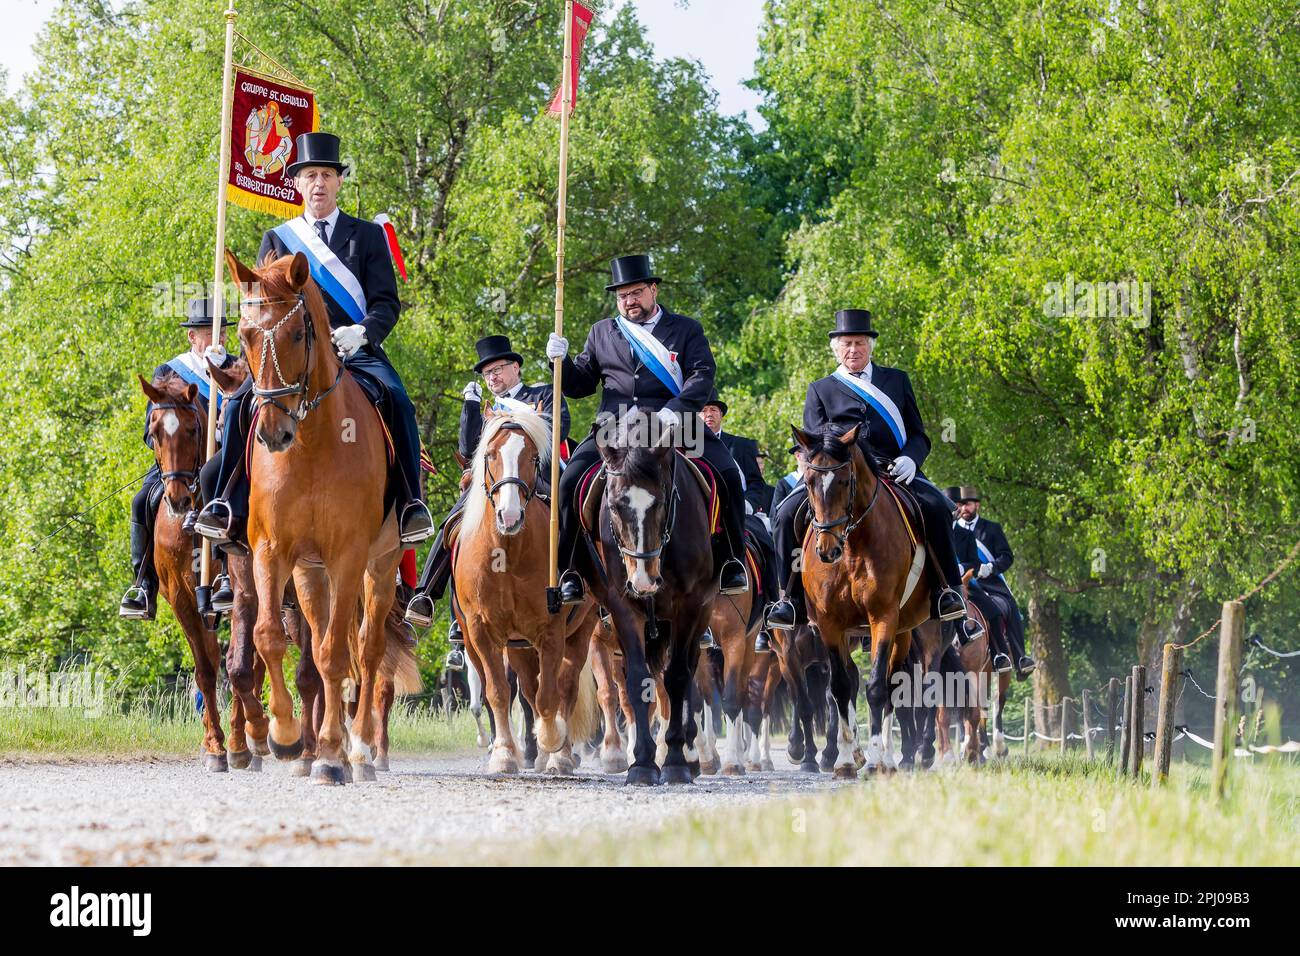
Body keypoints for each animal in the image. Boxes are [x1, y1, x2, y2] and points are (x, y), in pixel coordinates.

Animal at [225, 248, 403, 785]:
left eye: (298, 336)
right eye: (243, 336)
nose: (272, 432)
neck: (310, 445)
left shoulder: (348, 556)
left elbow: (337, 654)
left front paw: (326, 753)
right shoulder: (270, 551)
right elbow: (268, 637)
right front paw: (283, 737)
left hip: (379, 565)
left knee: (364, 650)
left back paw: (357, 750)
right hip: (309, 574)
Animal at [452, 404, 599, 774]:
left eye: (533, 457)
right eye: (490, 454)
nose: (509, 515)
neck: (508, 553)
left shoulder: (551, 630)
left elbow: (550, 694)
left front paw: (554, 745)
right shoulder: (480, 632)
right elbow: (498, 692)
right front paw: (504, 754)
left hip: (580, 632)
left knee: (564, 688)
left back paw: (560, 752)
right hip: (516, 645)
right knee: (528, 690)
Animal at [588, 412, 719, 785]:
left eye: (660, 502)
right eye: (614, 506)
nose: (644, 582)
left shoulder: (689, 606)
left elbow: (676, 679)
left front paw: (674, 760)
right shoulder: (622, 608)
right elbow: (636, 681)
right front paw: (642, 763)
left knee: (687, 674)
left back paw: (691, 754)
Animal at [793, 424, 942, 778]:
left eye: (845, 480)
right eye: (809, 481)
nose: (827, 550)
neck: (852, 546)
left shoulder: (883, 617)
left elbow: (877, 687)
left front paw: (876, 760)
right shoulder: (829, 624)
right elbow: (840, 687)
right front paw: (846, 760)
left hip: (904, 630)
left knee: (892, 684)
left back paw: (888, 757)